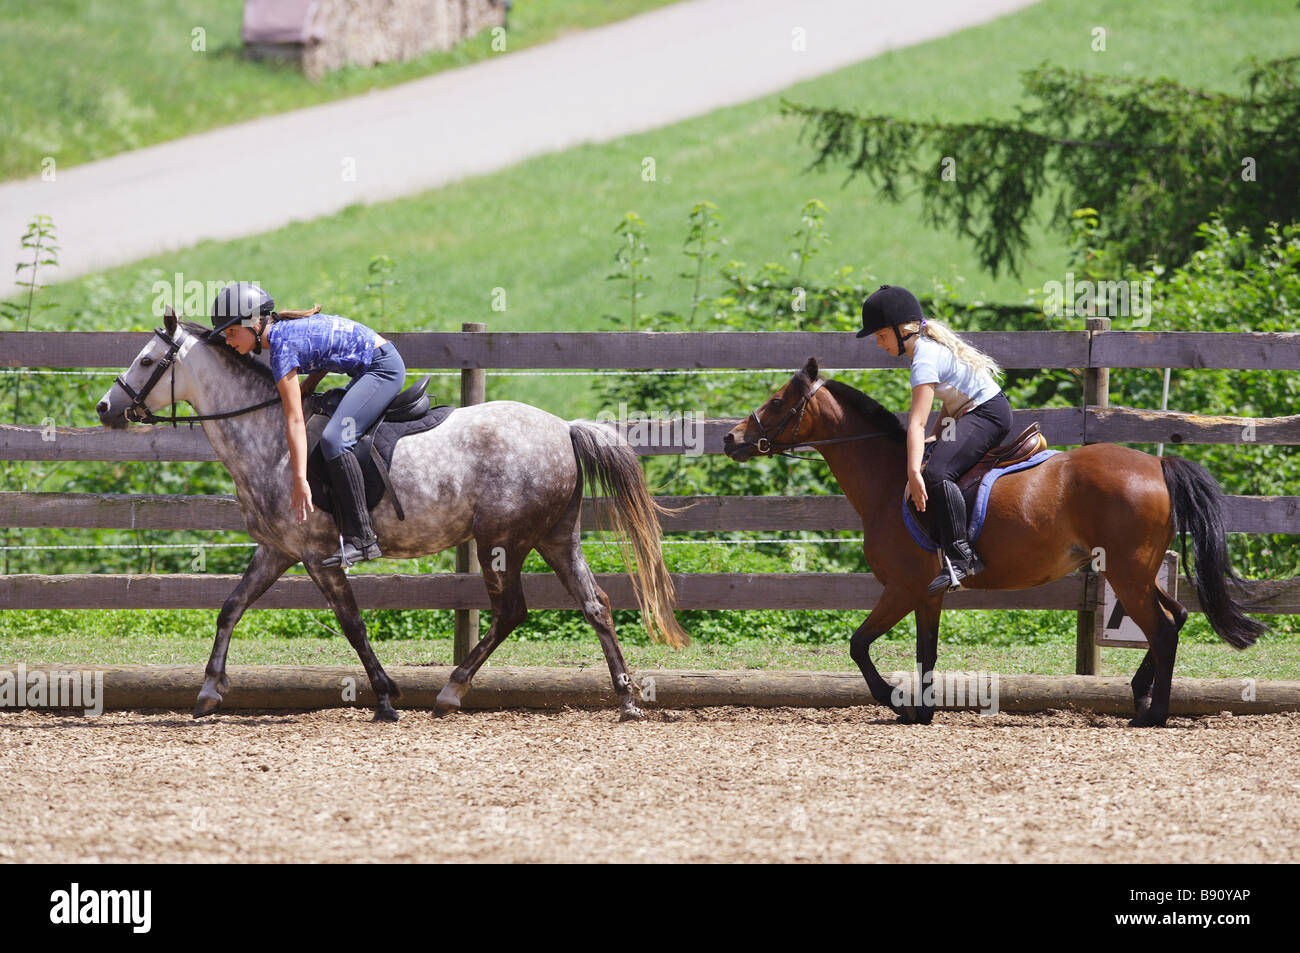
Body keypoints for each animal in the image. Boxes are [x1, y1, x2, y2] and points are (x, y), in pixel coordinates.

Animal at [95, 308, 688, 722]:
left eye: (146, 361)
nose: (105, 408)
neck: (270, 440)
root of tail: (563, 428)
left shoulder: (319, 556)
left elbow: (353, 625)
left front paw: (385, 697)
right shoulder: (277, 552)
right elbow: (230, 609)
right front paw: (208, 690)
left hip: (501, 541)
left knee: (512, 611)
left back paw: (451, 690)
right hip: (556, 537)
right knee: (595, 604)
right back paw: (626, 698)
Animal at [723, 358, 1267, 727]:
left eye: (777, 402)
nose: (731, 439)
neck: (890, 481)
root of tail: (1157, 463)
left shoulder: (901, 588)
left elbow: (858, 644)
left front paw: (892, 701)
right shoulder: (928, 593)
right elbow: (926, 652)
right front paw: (921, 710)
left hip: (1126, 574)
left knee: (1164, 629)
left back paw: (1153, 714)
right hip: (1135, 571)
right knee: (1176, 616)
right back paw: (1140, 696)